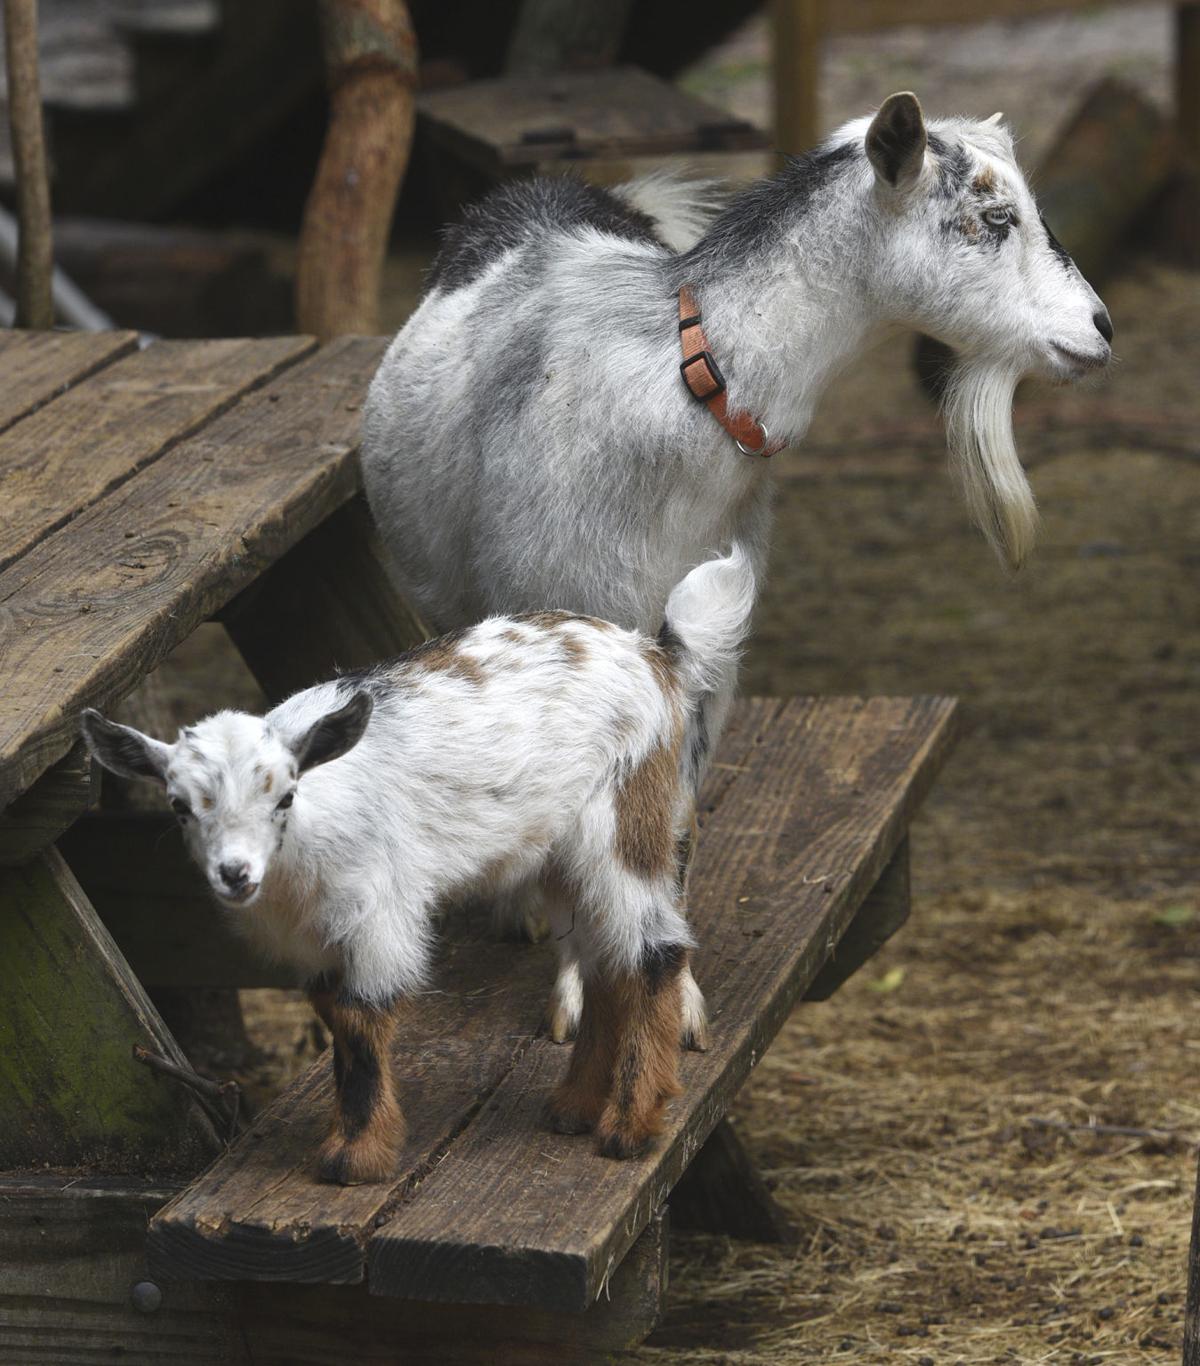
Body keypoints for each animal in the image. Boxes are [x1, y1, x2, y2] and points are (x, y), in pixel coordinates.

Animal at [80, 548, 755, 1183]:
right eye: (179, 806)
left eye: (285, 796)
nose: (235, 874)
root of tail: (654, 653)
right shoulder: (314, 940)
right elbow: (332, 1014)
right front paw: (350, 1140)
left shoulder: (377, 913)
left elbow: (362, 1016)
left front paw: (355, 1159)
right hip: (561, 856)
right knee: (606, 961)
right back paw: (574, 1109)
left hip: (622, 817)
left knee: (654, 951)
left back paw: (629, 1128)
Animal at [359, 92, 1113, 1045]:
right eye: (995, 217)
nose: (1101, 330)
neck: (686, 386)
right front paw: (576, 999)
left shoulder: (710, 658)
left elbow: (672, 825)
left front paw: (672, 1000)